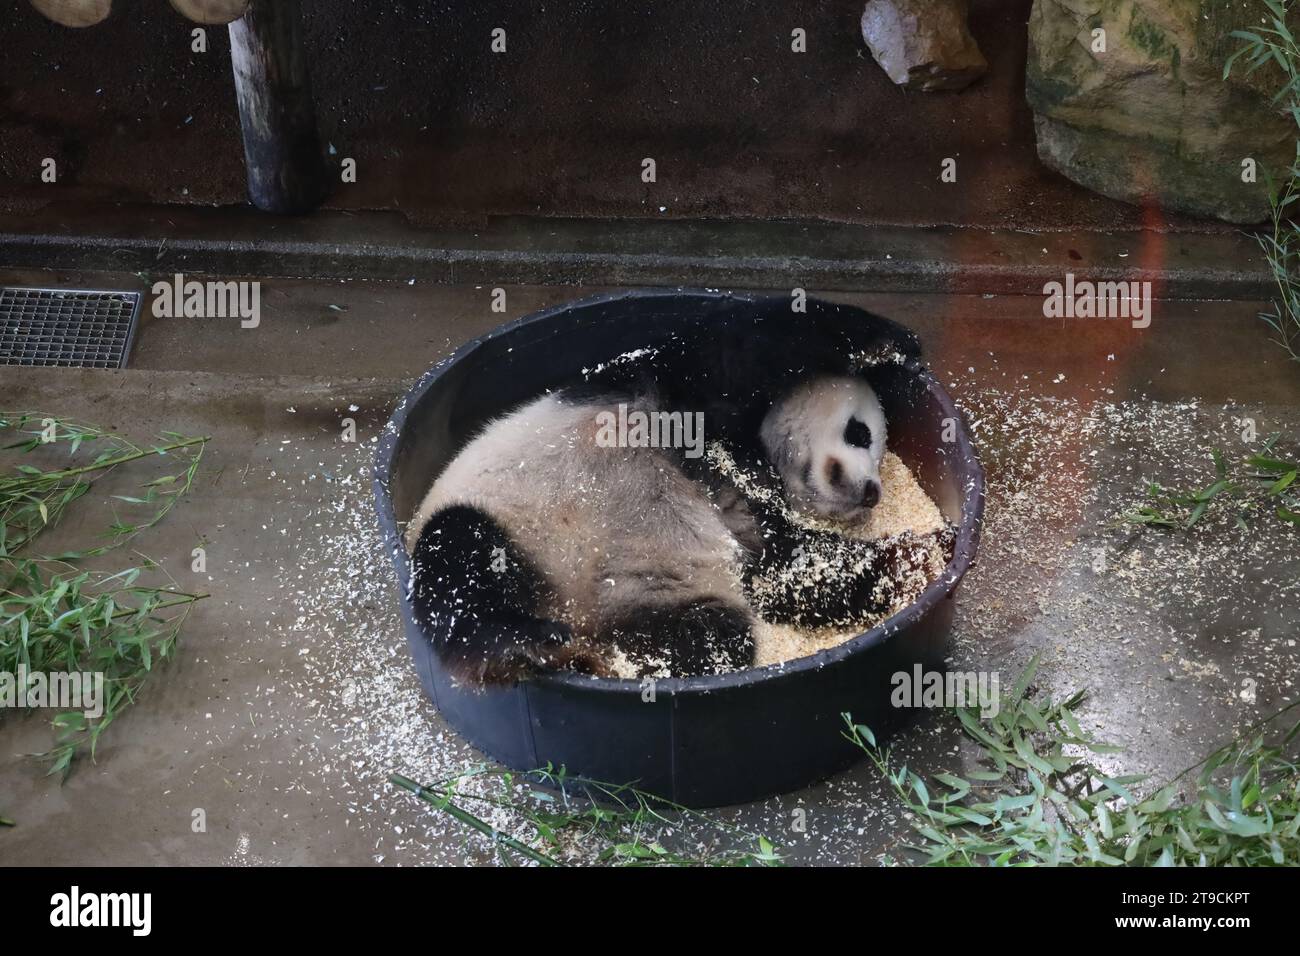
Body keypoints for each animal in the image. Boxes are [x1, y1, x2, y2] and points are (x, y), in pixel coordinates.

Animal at [404, 374, 889, 687]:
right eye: (860, 432)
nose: (871, 492)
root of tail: (578, 618)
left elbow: (789, 571)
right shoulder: (685, 416)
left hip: (661, 593)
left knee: (711, 635)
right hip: (507, 521)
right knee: (459, 559)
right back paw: (519, 642)